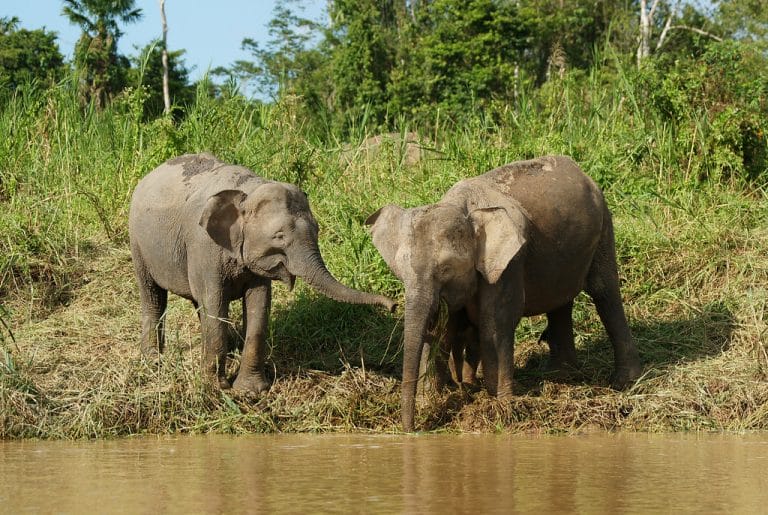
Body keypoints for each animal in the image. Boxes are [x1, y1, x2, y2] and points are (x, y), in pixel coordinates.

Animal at [129, 152, 396, 392]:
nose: (393, 306)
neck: (248, 190)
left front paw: (251, 391)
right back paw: (153, 361)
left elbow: (258, 305)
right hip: (138, 244)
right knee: (154, 296)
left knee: (196, 302)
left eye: (317, 229)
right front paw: (216, 389)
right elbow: (215, 303)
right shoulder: (203, 247)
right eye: (279, 236)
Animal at [365, 155, 642, 431]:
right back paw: (561, 376)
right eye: (400, 272)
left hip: (604, 223)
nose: (412, 430)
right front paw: (431, 399)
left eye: (445, 268)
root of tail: (577, 168)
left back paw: (623, 383)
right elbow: (443, 329)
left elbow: (496, 322)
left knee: (604, 291)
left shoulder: (510, 263)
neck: (462, 207)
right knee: (560, 303)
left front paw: (501, 404)